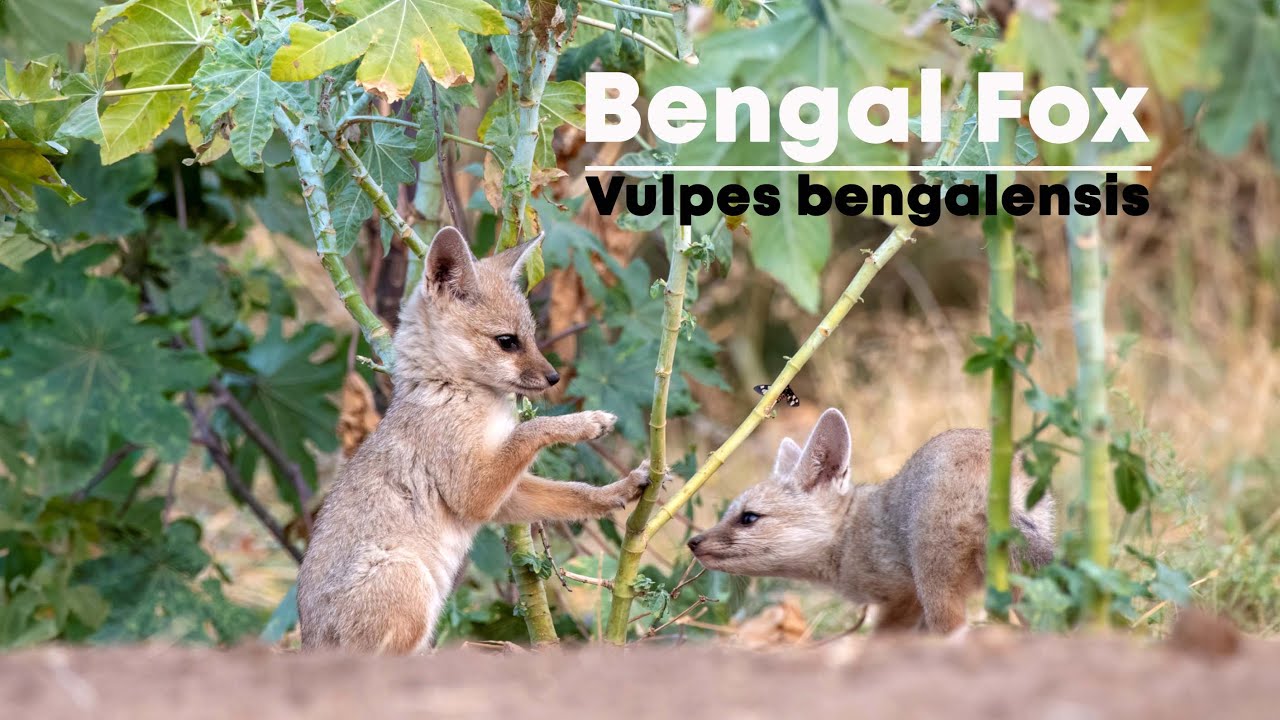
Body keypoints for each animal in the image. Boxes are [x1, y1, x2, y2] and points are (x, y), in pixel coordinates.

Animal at [298, 227, 651, 653]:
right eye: (507, 341)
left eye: (532, 337)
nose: (553, 378)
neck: (451, 390)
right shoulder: (472, 491)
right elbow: (532, 428)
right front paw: (584, 423)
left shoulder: (502, 499)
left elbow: (573, 493)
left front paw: (623, 488)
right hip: (408, 579)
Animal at [688, 408, 1054, 634]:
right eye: (729, 513)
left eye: (748, 518)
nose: (693, 542)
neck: (850, 533)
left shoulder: (904, 598)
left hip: (939, 593)